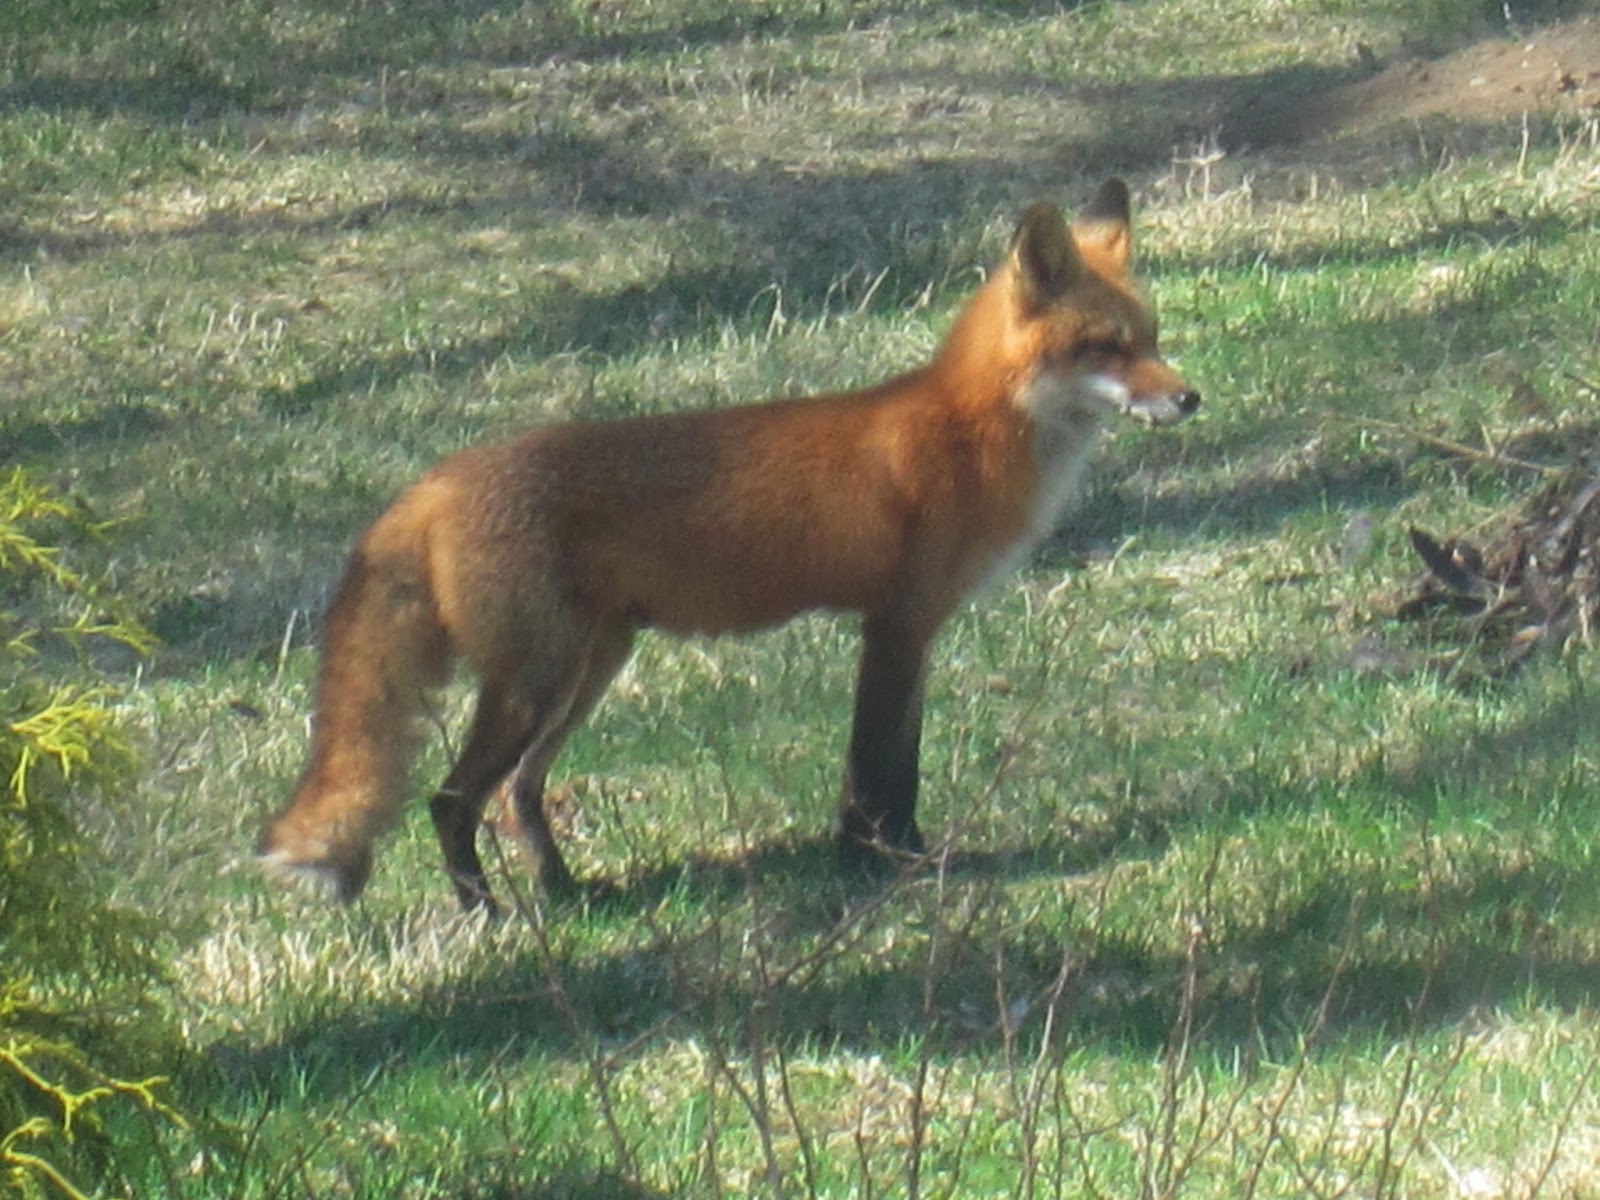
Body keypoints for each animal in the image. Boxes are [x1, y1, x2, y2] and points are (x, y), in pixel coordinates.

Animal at [258, 179, 1199, 913]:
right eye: (1108, 347)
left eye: (1152, 338)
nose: (1189, 399)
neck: (966, 432)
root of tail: (435, 481)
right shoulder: (894, 625)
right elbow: (876, 771)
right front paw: (874, 864)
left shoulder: (917, 631)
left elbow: (901, 764)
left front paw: (906, 856)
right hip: (538, 683)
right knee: (451, 800)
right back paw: (488, 914)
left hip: (587, 671)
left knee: (519, 795)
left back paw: (568, 893)